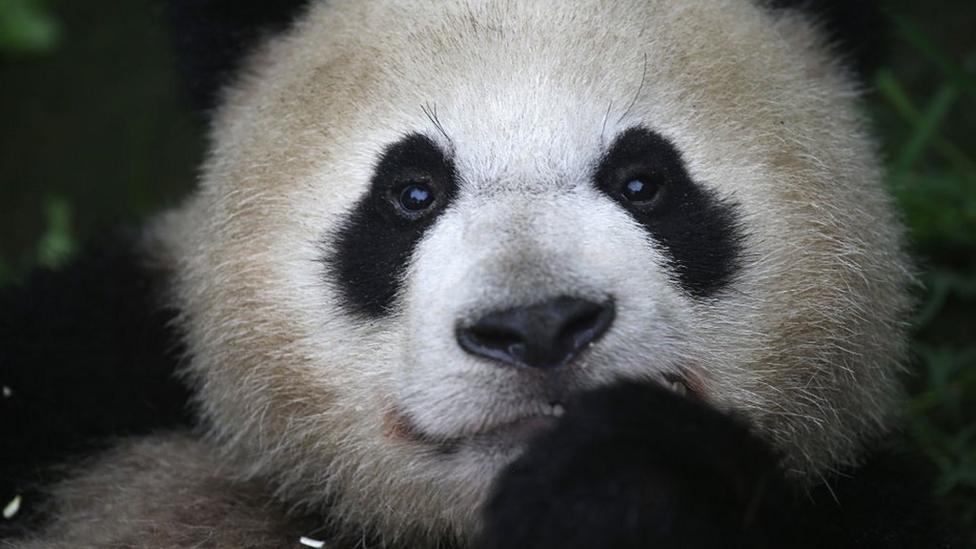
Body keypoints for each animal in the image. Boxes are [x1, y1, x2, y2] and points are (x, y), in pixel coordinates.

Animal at [0, 0, 960, 547]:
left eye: (644, 181)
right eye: (411, 191)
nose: (539, 326)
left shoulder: (864, 502)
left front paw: (615, 489)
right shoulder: (100, 349)